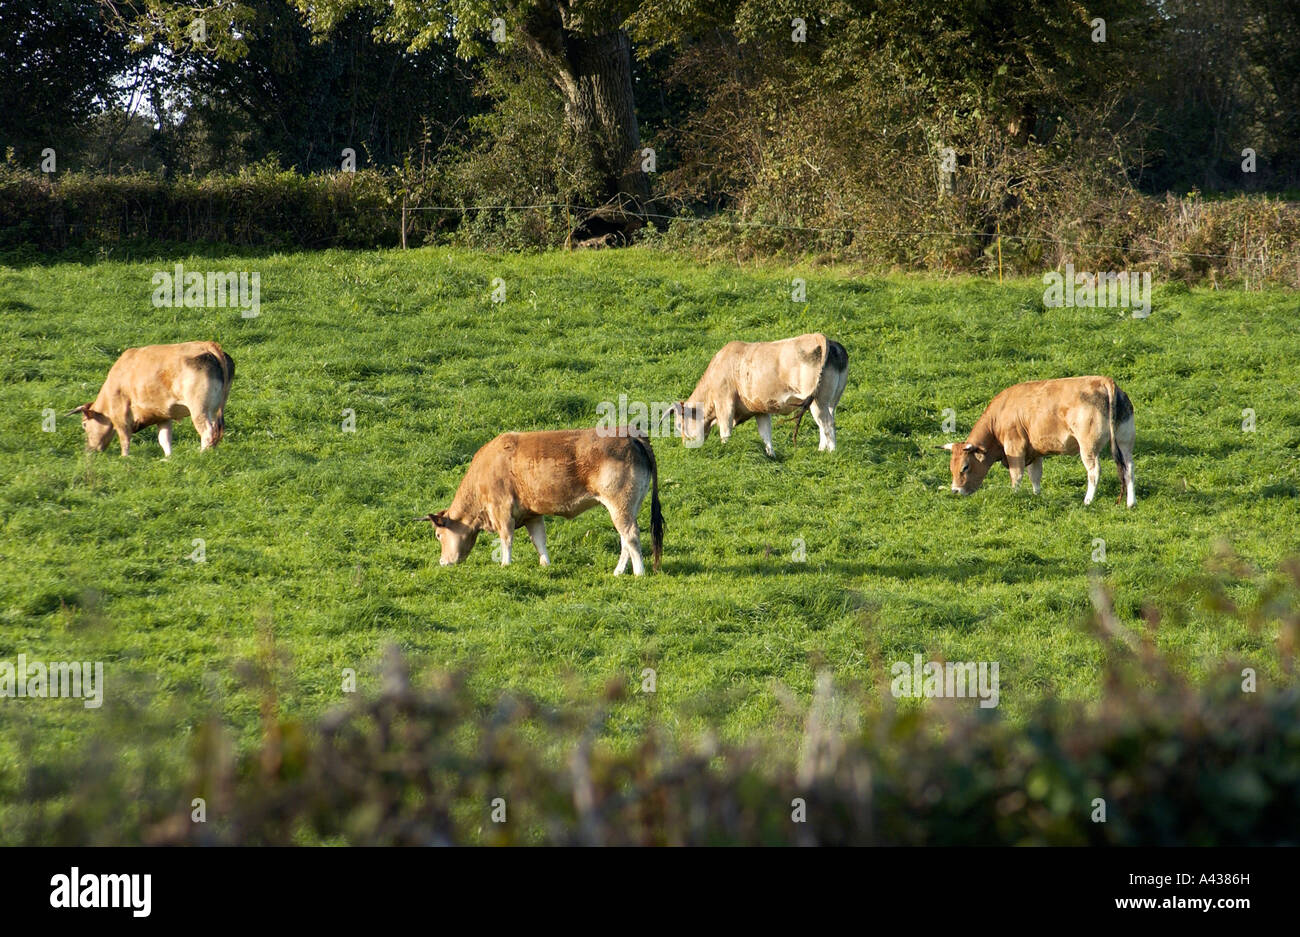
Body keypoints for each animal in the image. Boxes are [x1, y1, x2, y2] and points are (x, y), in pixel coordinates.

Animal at [70, 341, 234, 457]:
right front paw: (168, 458)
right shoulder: (163, 415)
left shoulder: (120, 414)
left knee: (207, 432)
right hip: (214, 409)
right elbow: (164, 439)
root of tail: (208, 345)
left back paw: (202, 455)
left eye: (84, 424)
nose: (88, 449)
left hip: (199, 408)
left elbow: (124, 438)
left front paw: (124, 458)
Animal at [419, 428, 664, 575]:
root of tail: (630, 434)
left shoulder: (501, 509)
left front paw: (505, 564)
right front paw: (545, 564)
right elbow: (539, 540)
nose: (443, 562)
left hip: (619, 503)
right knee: (624, 539)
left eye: (438, 535)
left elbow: (506, 538)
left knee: (630, 536)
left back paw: (639, 573)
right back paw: (618, 572)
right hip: (627, 506)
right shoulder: (532, 514)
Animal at [673, 333, 848, 456]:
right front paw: (771, 456)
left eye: (679, 425)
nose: (686, 447)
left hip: (818, 401)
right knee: (824, 423)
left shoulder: (724, 401)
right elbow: (766, 434)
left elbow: (725, 431)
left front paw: (725, 450)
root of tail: (822, 338)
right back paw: (821, 450)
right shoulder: (760, 409)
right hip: (830, 401)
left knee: (827, 423)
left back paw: (831, 453)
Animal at [941, 376, 1136, 507]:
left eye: (965, 467)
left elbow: (1017, 475)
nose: (955, 490)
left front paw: (1015, 495)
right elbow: (1035, 475)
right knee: (1129, 468)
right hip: (1124, 442)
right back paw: (1131, 502)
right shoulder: (1034, 452)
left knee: (1094, 471)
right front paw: (1037, 496)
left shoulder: (1015, 447)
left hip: (1088, 447)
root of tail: (1104, 381)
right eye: (951, 468)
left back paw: (1088, 500)